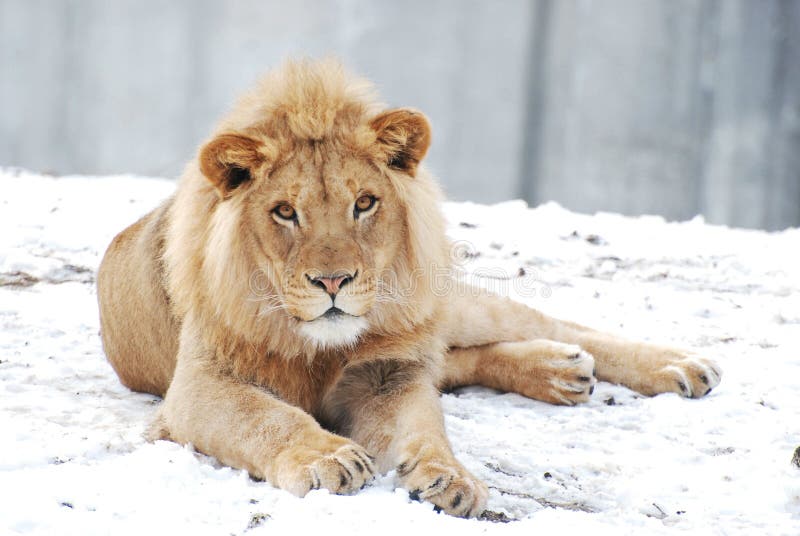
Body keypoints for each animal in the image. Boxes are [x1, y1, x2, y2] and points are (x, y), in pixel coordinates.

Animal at [97, 59, 721, 518]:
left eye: (364, 203)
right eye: (284, 212)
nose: (333, 281)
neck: (319, 349)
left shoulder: (388, 371)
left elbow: (424, 426)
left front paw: (450, 477)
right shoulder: (198, 386)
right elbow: (266, 417)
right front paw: (328, 458)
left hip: (438, 308)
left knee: (546, 326)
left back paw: (677, 366)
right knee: (458, 360)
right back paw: (560, 372)